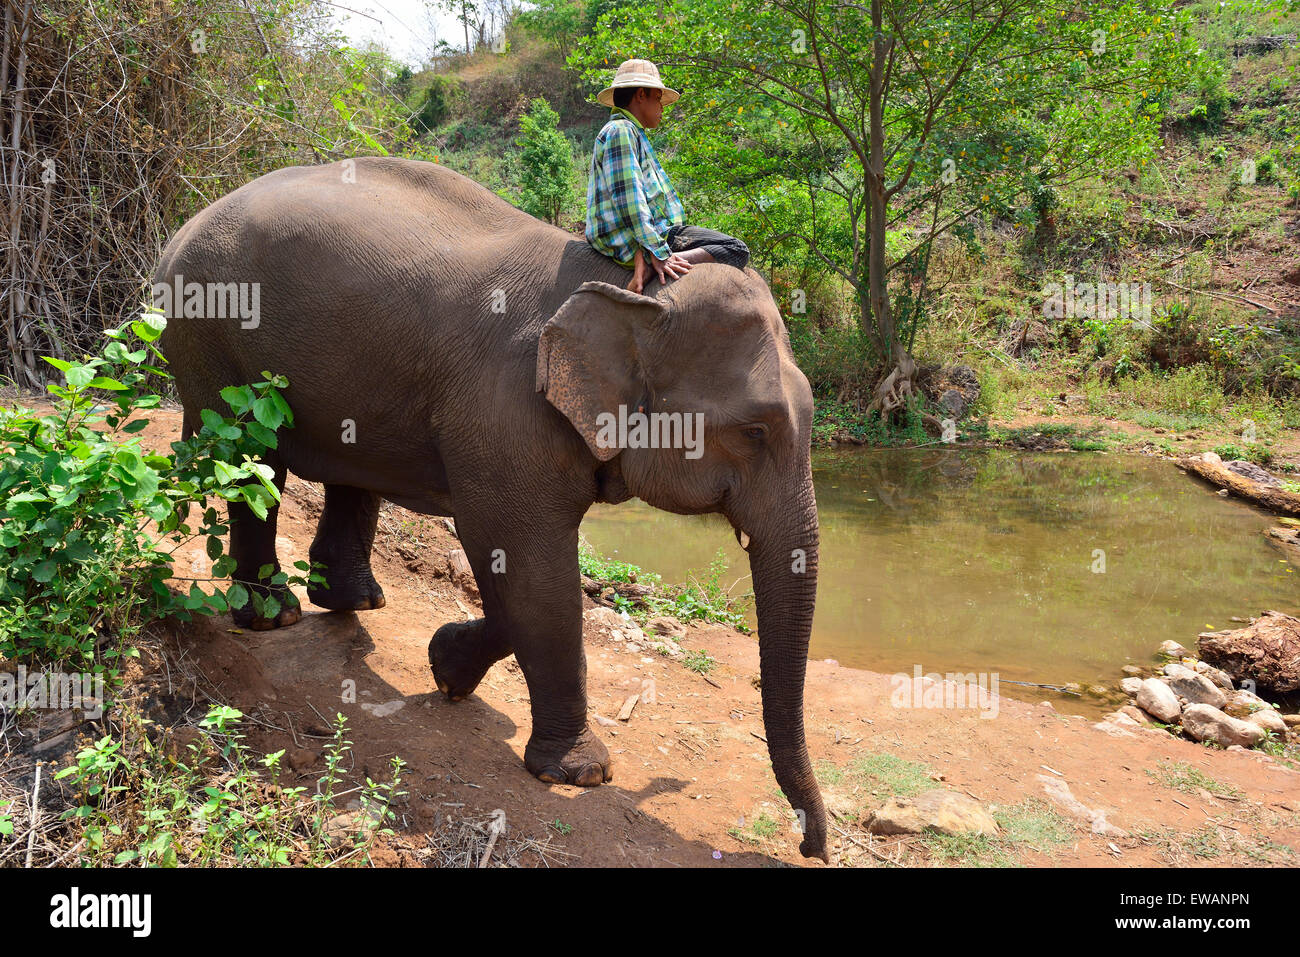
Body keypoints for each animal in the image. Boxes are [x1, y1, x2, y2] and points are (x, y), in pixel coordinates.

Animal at [155, 156, 827, 861]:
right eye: (755, 431)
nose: (812, 847)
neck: (624, 289)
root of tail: (184, 227)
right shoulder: (505, 413)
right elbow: (526, 562)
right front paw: (580, 773)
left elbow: (520, 574)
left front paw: (447, 667)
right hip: (208, 333)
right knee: (247, 453)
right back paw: (274, 617)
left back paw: (355, 600)